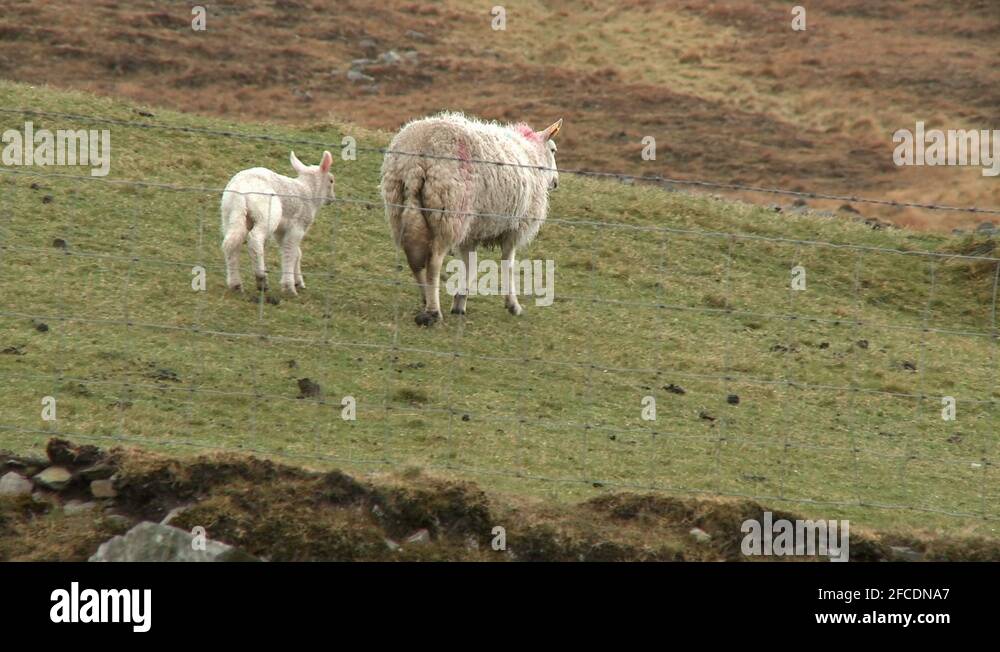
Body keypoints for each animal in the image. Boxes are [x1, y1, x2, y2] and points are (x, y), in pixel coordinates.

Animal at [220, 151, 334, 295]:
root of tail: (240, 188)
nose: (332, 199)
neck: (308, 192)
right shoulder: (297, 227)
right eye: (331, 181)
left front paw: (298, 282)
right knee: (254, 240)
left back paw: (235, 284)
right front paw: (289, 287)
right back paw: (261, 278)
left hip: (230, 213)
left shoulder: (281, 231)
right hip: (266, 213)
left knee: (230, 243)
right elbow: (290, 252)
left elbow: (295, 253)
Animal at [380, 112, 562, 325]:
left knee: (414, 260)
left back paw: (426, 299)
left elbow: (470, 265)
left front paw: (460, 301)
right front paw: (513, 305)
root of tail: (418, 154)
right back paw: (433, 311)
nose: (556, 182)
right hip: (450, 212)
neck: (532, 154)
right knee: (433, 262)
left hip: (399, 207)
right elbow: (507, 263)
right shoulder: (514, 227)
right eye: (553, 150)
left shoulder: (472, 231)